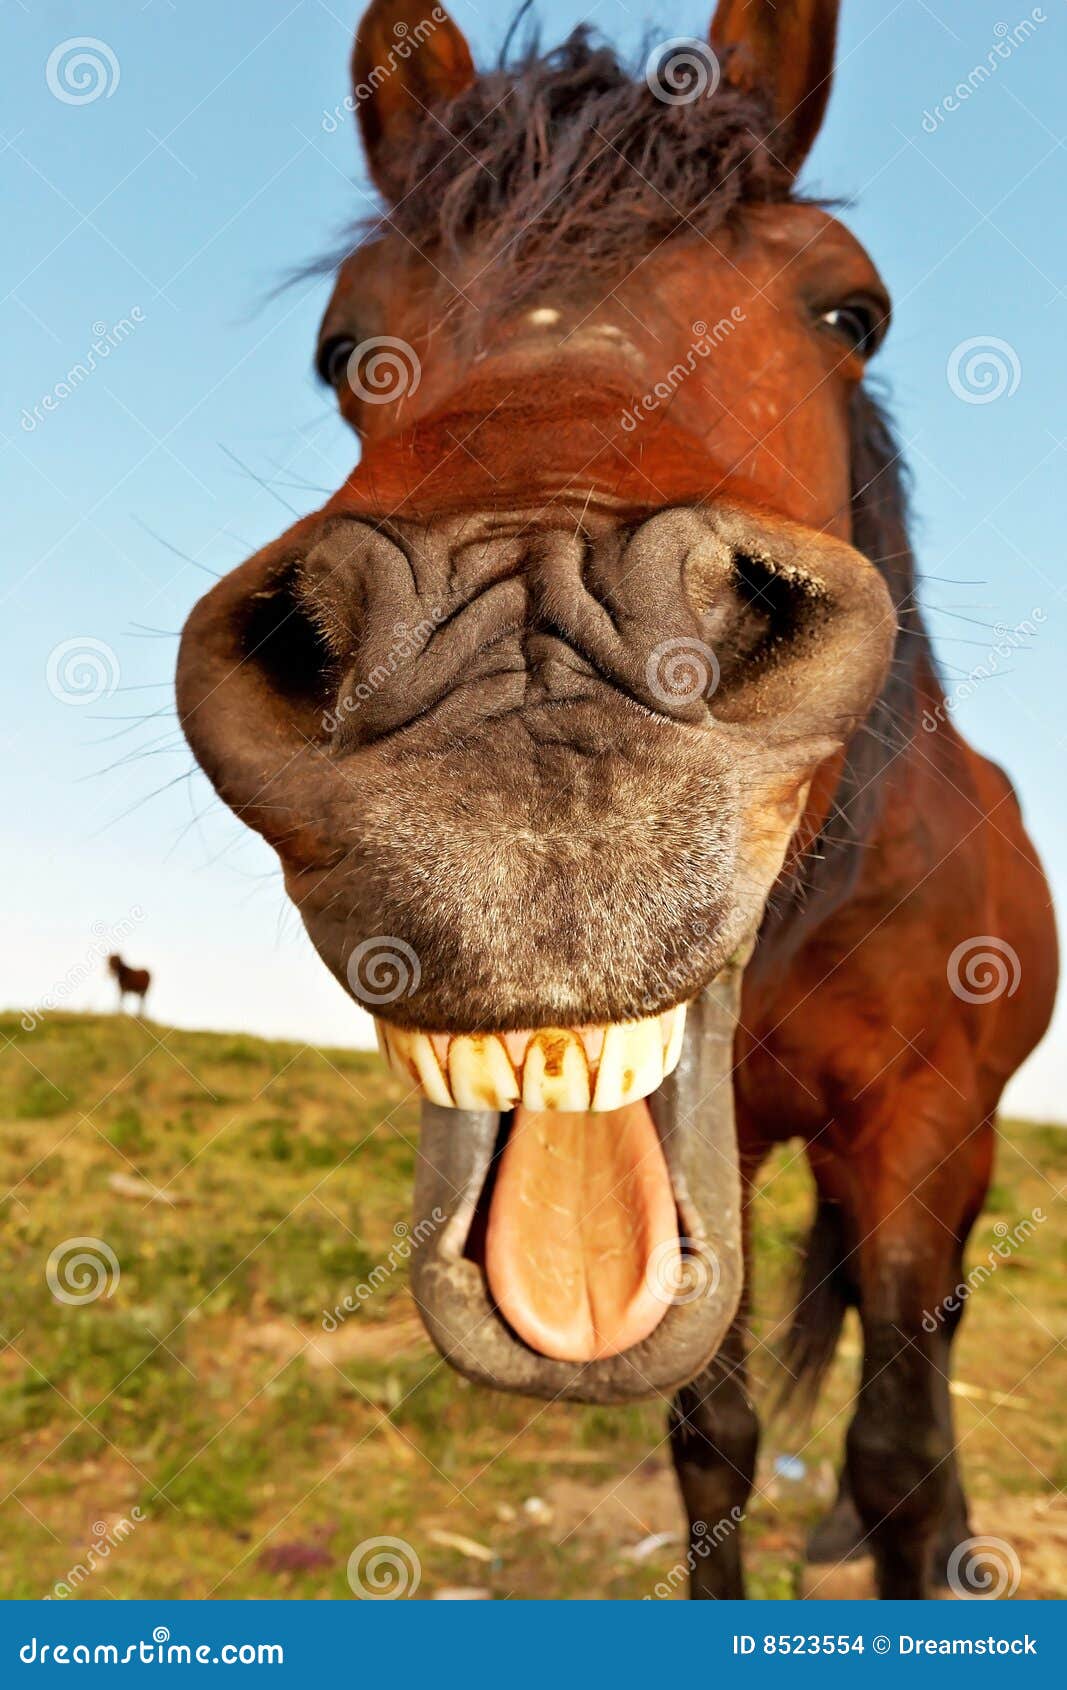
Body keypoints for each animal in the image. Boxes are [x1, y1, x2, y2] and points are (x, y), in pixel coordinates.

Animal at [176, 0, 1057, 1599]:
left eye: (853, 314)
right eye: (344, 347)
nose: (520, 708)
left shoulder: (921, 1118)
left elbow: (897, 1446)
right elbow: (710, 1432)